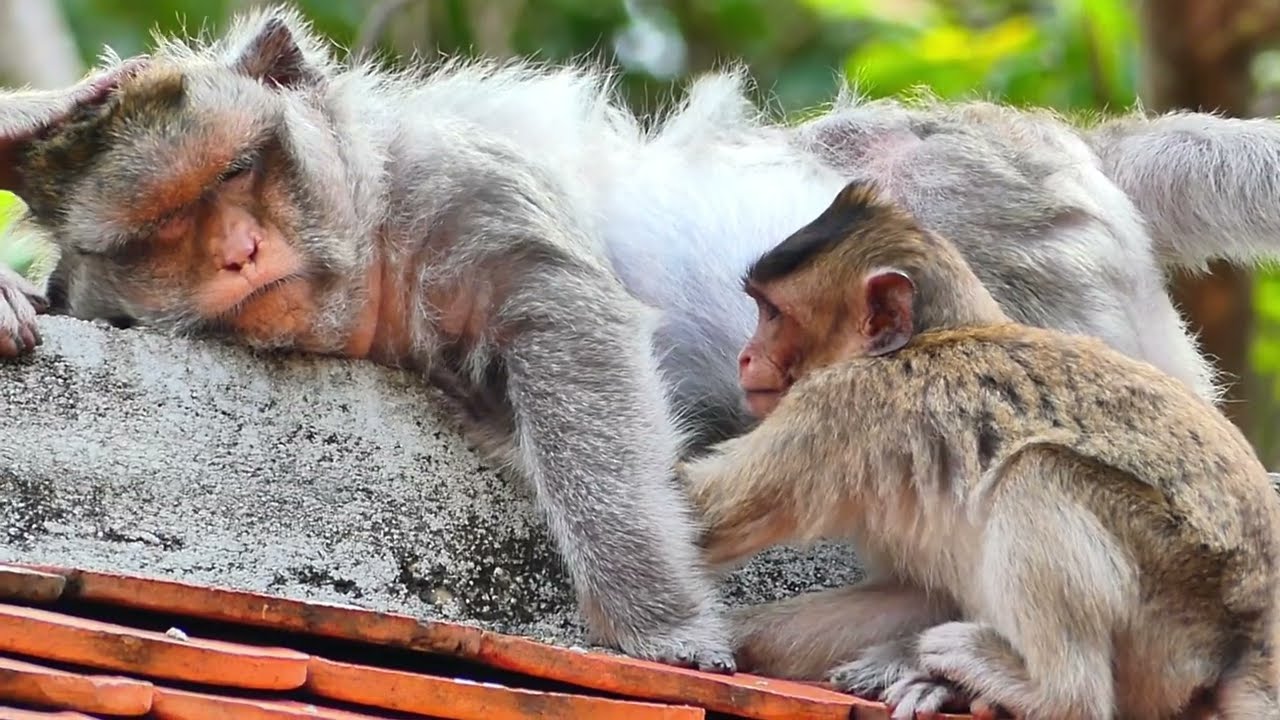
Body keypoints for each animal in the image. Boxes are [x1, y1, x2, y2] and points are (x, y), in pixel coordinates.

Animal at [678, 180, 1280, 720]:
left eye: (773, 313)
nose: (746, 356)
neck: (931, 334)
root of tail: (1252, 626)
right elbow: (916, 594)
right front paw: (724, 633)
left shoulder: (836, 406)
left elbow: (697, 515)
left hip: (1176, 616)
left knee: (1038, 472)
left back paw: (1050, 693)